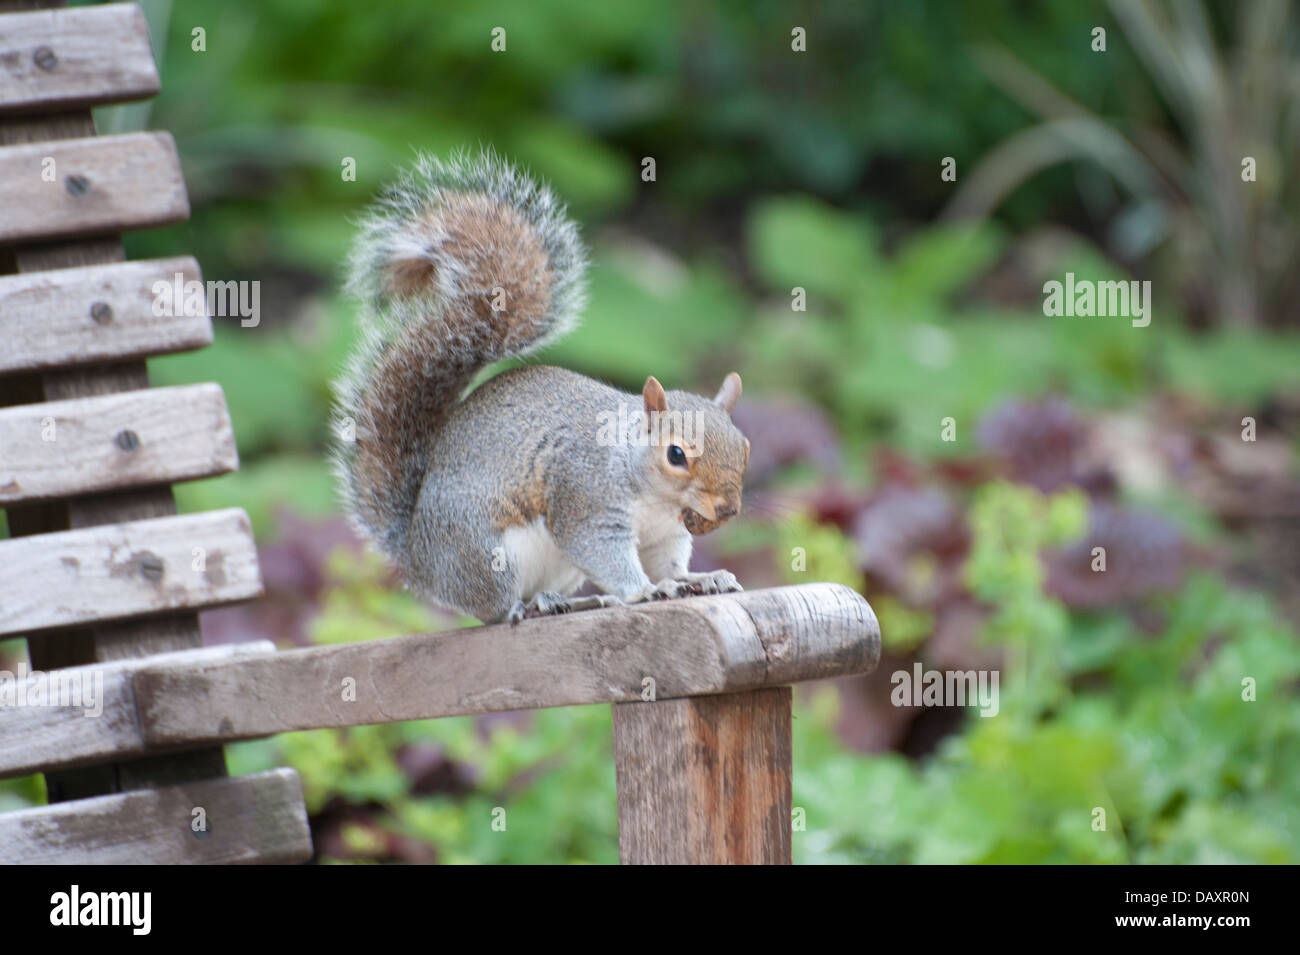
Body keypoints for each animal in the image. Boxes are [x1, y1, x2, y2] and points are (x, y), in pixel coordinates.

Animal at [332, 150, 750, 625]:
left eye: (745, 448)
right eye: (676, 455)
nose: (728, 508)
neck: (654, 495)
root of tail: (420, 563)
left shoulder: (666, 533)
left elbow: (670, 561)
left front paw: (696, 579)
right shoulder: (585, 499)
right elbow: (605, 553)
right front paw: (647, 590)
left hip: (559, 570)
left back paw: (572, 601)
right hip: (487, 555)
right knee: (493, 609)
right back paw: (525, 608)